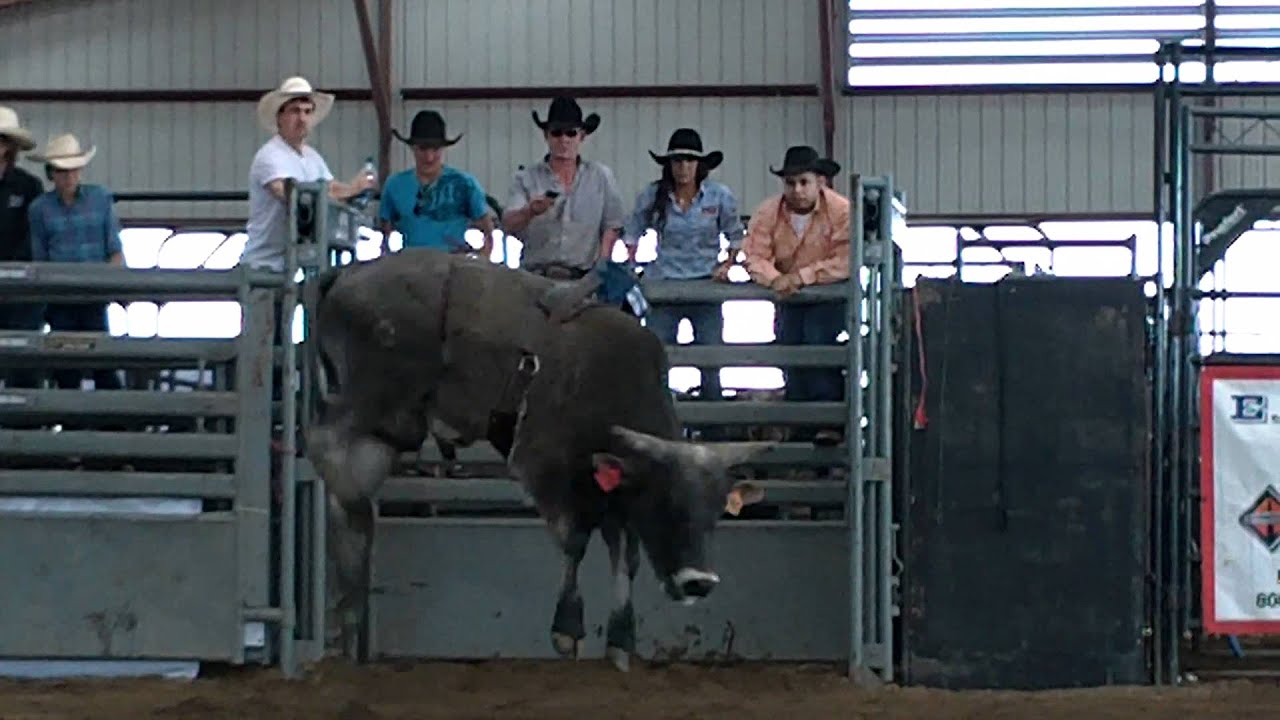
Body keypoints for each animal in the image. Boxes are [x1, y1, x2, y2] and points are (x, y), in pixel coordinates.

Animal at [304, 248, 771, 671]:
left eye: (716, 511)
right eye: (665, 502)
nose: (699, 583)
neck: (610, 379)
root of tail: (347, 274)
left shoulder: (611, 489)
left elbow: (625, 555)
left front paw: (621, 639)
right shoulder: (554, 470)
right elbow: (576, 542)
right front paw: (567, 628)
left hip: (388, 426)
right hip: (372, 400)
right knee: (328, 451)